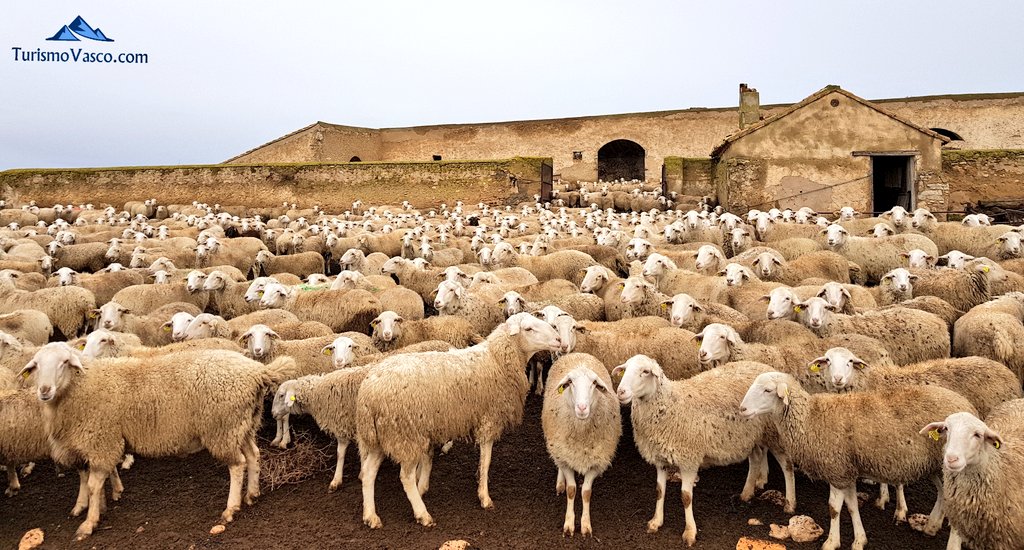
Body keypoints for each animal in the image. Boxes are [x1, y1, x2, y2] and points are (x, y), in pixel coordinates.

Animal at [20, 343, 298, 539]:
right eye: (36, 365)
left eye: (64, 363)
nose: (44, 391)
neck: (80, 387)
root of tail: (256, 370)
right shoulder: (99, 441)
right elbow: (92, 479)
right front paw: (96, 507)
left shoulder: (100, 439)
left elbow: (93, 483)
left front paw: (89, 523)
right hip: (242, 424)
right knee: (253, 455)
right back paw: (252, 494)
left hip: (222, 427)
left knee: (237, 464)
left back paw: (231, 509)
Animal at [356, 312, 564, 528]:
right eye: (529, 329)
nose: (559, 340)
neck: (496, 359)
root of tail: (368, 392)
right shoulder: (489, 420)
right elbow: (486, 462)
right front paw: (484, 497)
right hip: (405, 435)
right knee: (405, 477)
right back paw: (422, 514)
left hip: (381, 437)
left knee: (369, 473)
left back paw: (371, 516)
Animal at [541, 353, 621, 537]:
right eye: (570, 382)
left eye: (594, 383)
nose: (582, 408)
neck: (582, 435)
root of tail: (579, 353)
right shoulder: (565, 458)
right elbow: (571, 490)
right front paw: (569, 524)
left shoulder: (596, 463)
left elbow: (586, 492)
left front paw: (585, 525)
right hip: (558, 448)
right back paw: (560, 483)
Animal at [613, 356, 795, 545]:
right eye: (625, 369)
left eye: (645, 371)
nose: (620, 392)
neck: (671, 405)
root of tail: (767, 368)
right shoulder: (660, 459)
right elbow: (659, 491)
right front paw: (656, 521)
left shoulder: (689, 460)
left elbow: (686, 497)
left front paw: (690, 532)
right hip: (749, 436)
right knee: (756, 458)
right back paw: (746, 493)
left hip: (773, 432)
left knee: (787, 465)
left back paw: (790, 503)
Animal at [739, 372, 976, 550]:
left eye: (768, 390)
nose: (742, 409)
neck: (809, 418)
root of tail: (967, 406)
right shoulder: (846, 471)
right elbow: (852, 506)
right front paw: (859, 540)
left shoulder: (836, 469)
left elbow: (834, 508)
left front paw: (831, 543)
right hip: (936, 467)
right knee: (943, 496)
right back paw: (931, 526)